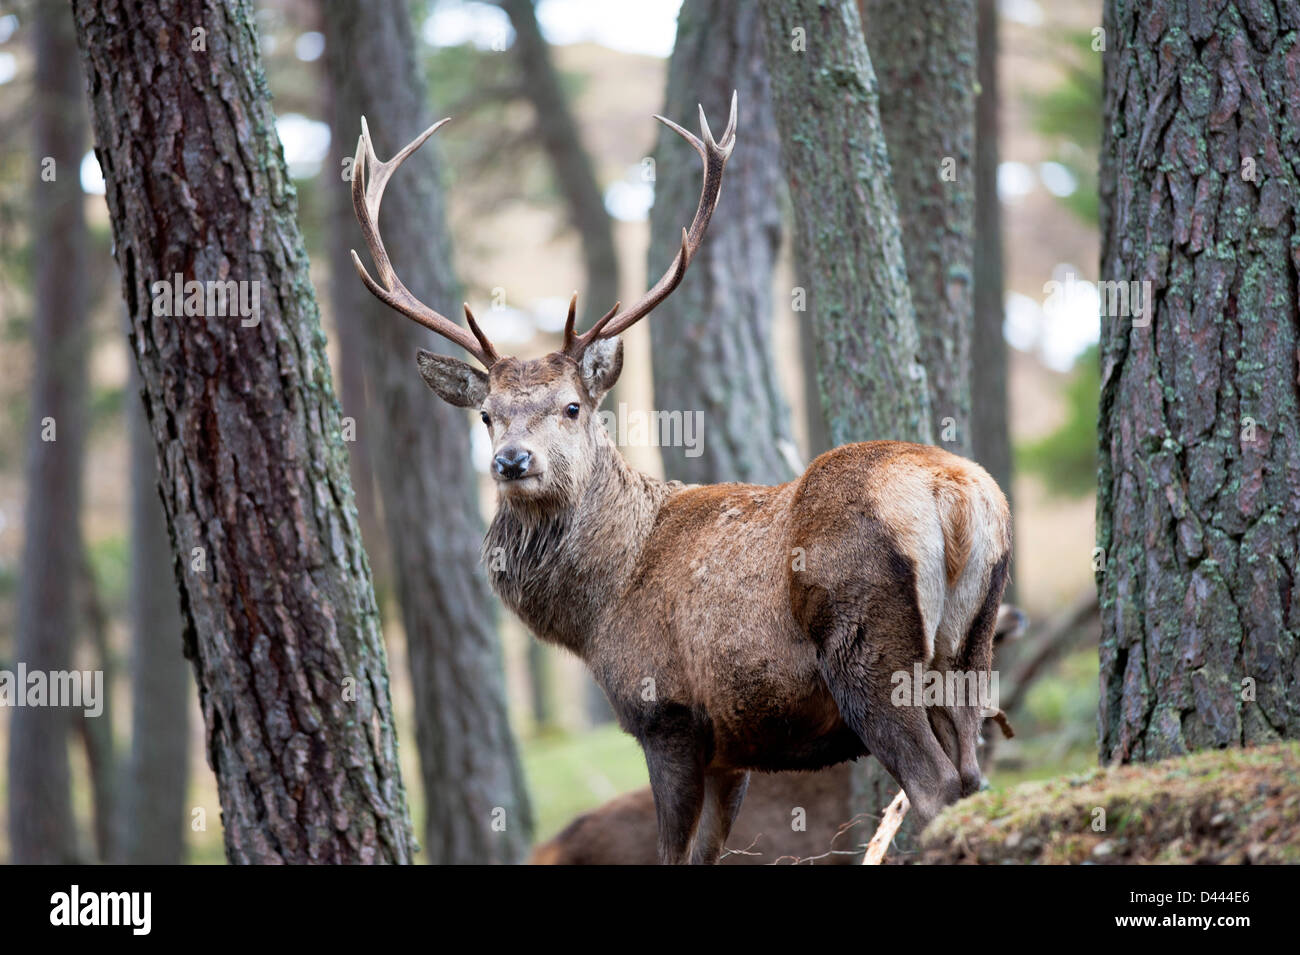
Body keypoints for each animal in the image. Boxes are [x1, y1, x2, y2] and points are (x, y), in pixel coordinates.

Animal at [349, 94, 1013, 865]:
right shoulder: (733, 745)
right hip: (973, 649)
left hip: (871, 653)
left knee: (935, 786)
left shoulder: (667, 714)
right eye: (487, 414)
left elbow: (670, 851)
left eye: (572, 406)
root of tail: (959, 497)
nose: (512, 461)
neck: (598, 607)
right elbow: (706, 853)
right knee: (972, 780)